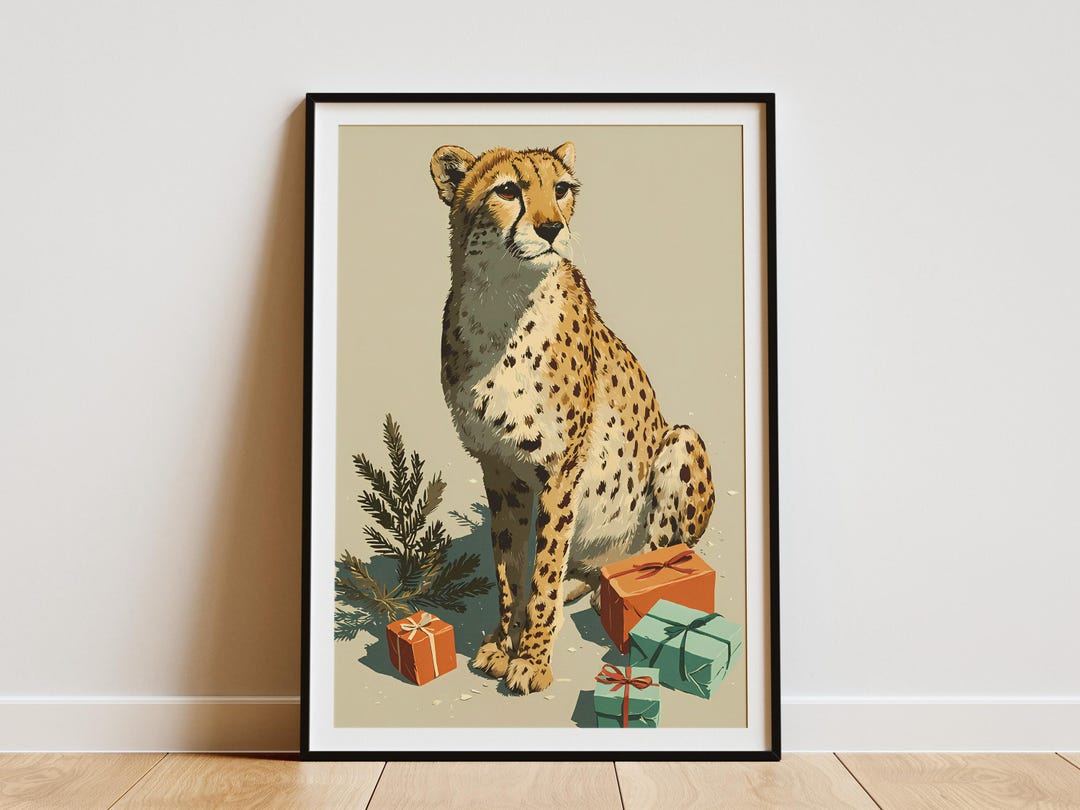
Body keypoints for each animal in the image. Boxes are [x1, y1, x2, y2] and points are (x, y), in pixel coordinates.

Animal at [430, 141, 715, 694]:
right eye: (507, 190)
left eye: (561, 188)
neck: (502, 302)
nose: (550, 228)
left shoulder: (562, 469)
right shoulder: (498, 470)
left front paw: (532, 661)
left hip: (680, 442)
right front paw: (505, 640)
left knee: (653, 556)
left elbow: (543, 568)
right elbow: (509, 567)